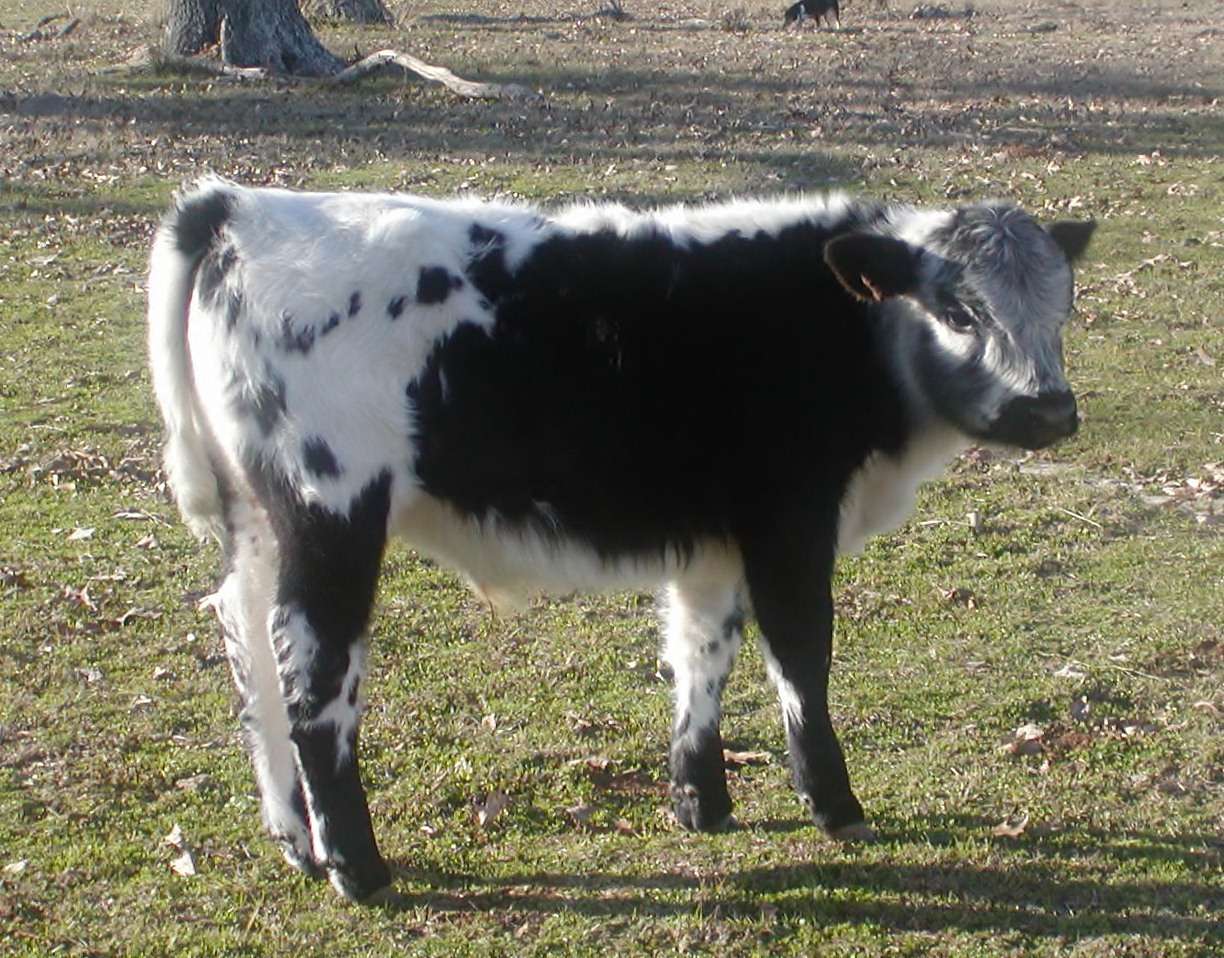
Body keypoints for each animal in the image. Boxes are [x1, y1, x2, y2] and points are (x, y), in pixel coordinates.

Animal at [147, 177, 1093, 901]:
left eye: (1065, 308)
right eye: (957, 310)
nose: (1049, 410)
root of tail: (241, 205)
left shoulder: (713, 540)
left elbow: (702, 649)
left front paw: (700, 801)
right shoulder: (789, 520)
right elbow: (801, 654)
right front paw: (833, 803)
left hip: (259, 521)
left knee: (246, 639)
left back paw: (294, 838)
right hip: (333, 513)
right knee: (315, 674)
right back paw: (357, 867)